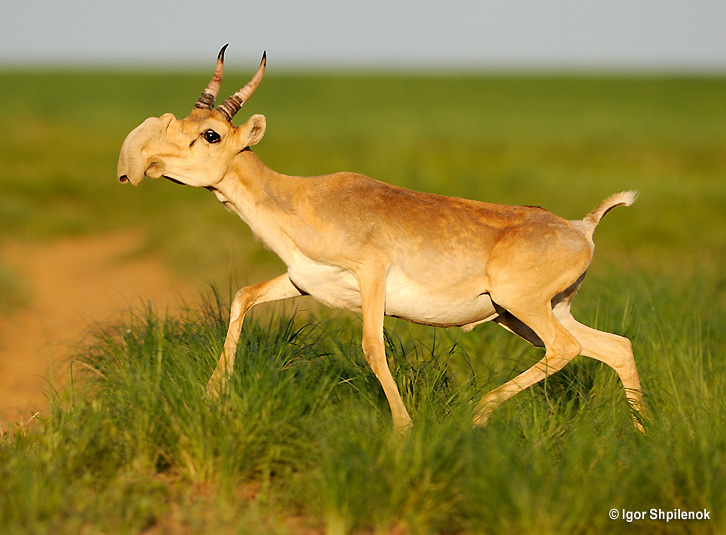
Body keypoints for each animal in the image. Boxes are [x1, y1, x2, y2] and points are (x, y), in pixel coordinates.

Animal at [117, 47, 645, 434]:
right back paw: (641, 437)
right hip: (531, 314)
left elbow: (373, 346)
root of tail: (581, 228)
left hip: (522, 308)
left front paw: (404, 430)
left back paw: (478, 413)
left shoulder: (370, 275)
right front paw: (213, 396)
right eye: (182, 122)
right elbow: (242, 296)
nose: (141, 164)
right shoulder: (302, 282)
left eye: (210, 134)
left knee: (567, 349)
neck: (302, 198)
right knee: (615, 347)